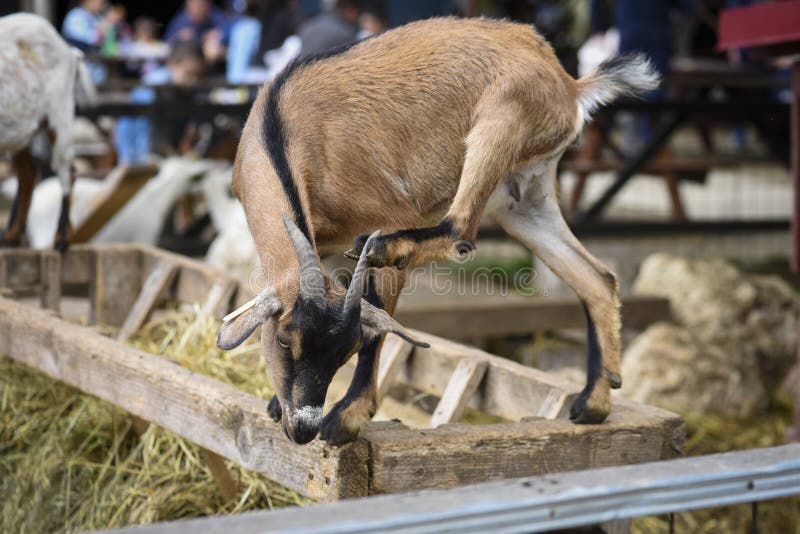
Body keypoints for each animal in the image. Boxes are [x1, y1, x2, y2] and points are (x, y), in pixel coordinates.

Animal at [0, 12, 95, 251]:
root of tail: (68, 50)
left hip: (60, 113)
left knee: (66, 169)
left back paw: (61, 238)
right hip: (19, 131)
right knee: (27, 172)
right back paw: (12, 235)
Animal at [217, 17, 659, 445]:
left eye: (346, 350)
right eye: (284, 340)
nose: (304, 429)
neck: (285, 132)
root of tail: (569, 83)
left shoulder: (388, 212)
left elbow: (377, 325)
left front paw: (346, 418)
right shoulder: (320, 244)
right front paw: (278, 404)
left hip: (497, 127)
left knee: (460, 230)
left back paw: (386, 248)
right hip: (524, 200)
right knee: (597, 278)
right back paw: (594, 403)